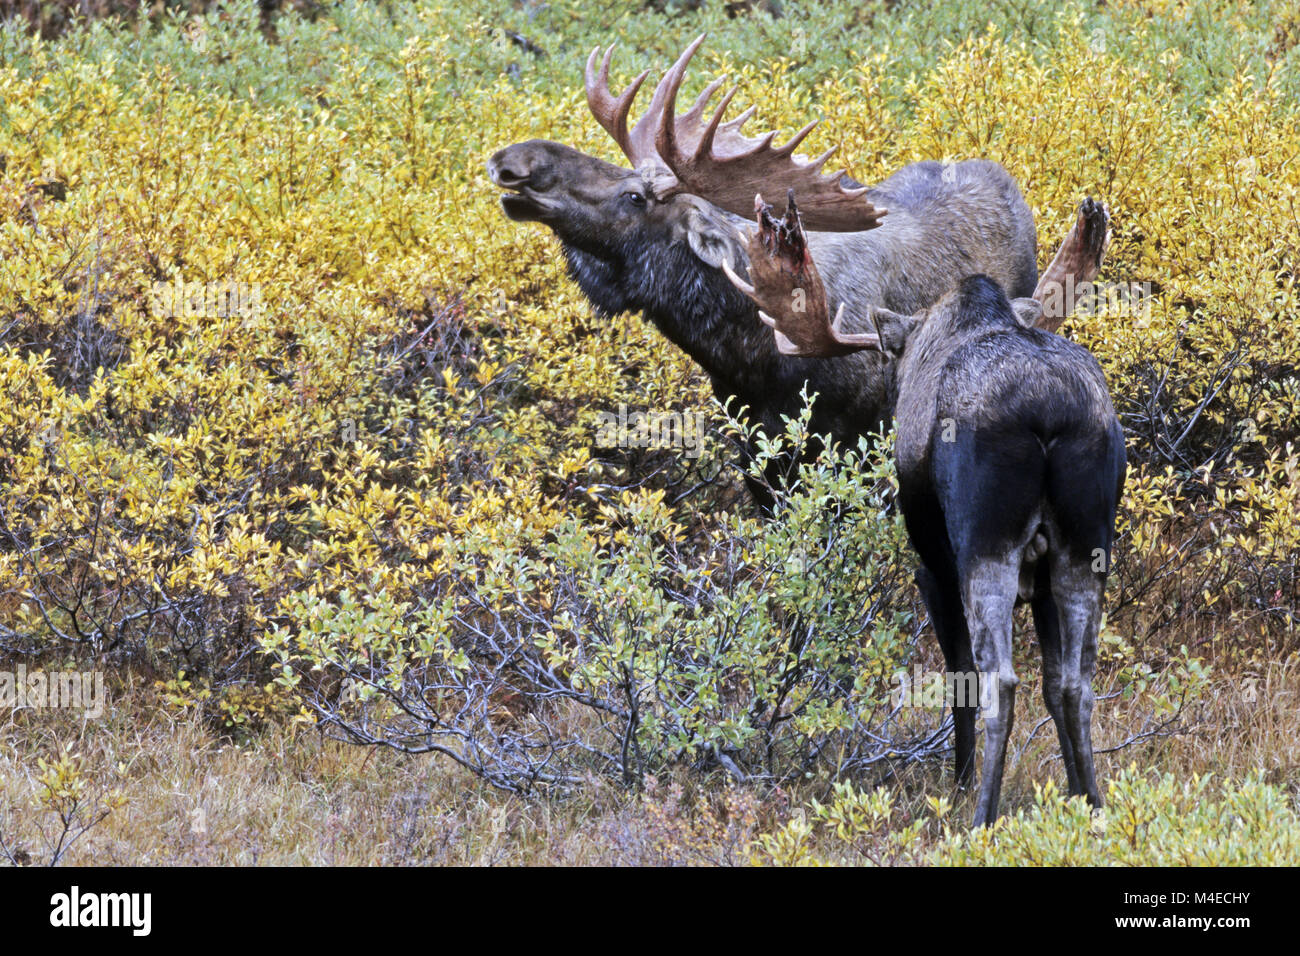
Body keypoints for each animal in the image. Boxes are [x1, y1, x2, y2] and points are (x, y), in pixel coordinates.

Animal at [727, 192, 1127, 825]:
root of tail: (1047, 414)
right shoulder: (1042, 576)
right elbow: (1052, 683)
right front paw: (1072, 791)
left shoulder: (931, 565)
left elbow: (959, 675)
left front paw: (959, 783)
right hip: (1085, 545)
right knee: (1076, 681)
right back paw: (1094, 802)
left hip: (983, 543)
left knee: (999, 680)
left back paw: (980, 815)